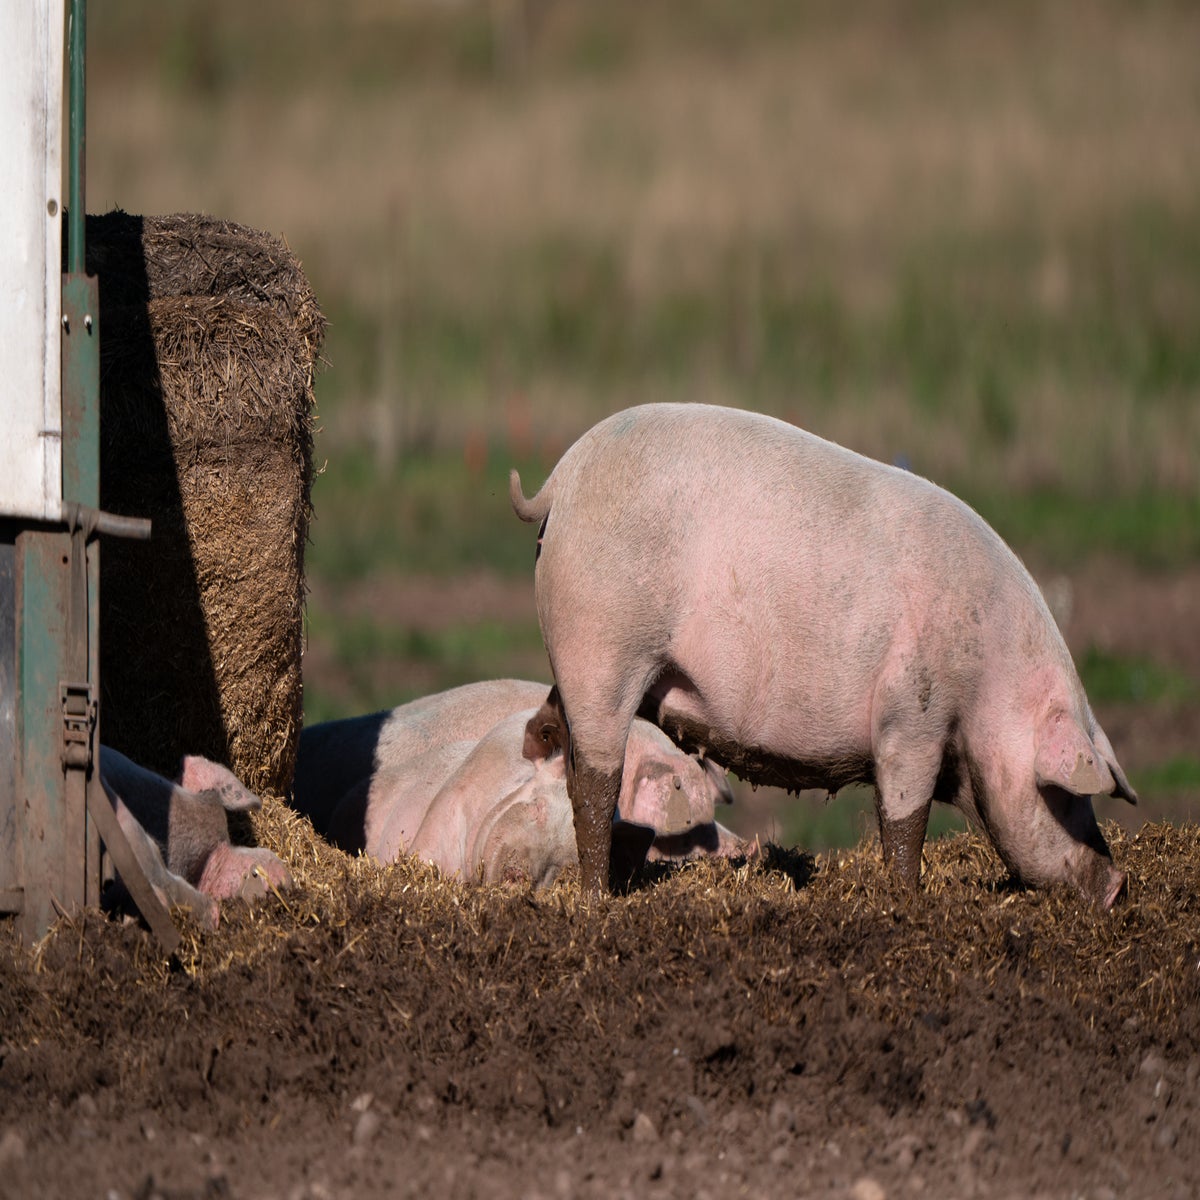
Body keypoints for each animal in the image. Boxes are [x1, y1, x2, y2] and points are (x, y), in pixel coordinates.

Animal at [510, 402, 1138, 907]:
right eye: (1068, 798)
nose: (1118, 885)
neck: (991, 682)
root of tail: (559, 482)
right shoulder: (914, 711)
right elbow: (905, 817)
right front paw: (907, 900)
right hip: (603, 646)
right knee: (596, 780)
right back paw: (598, 900)